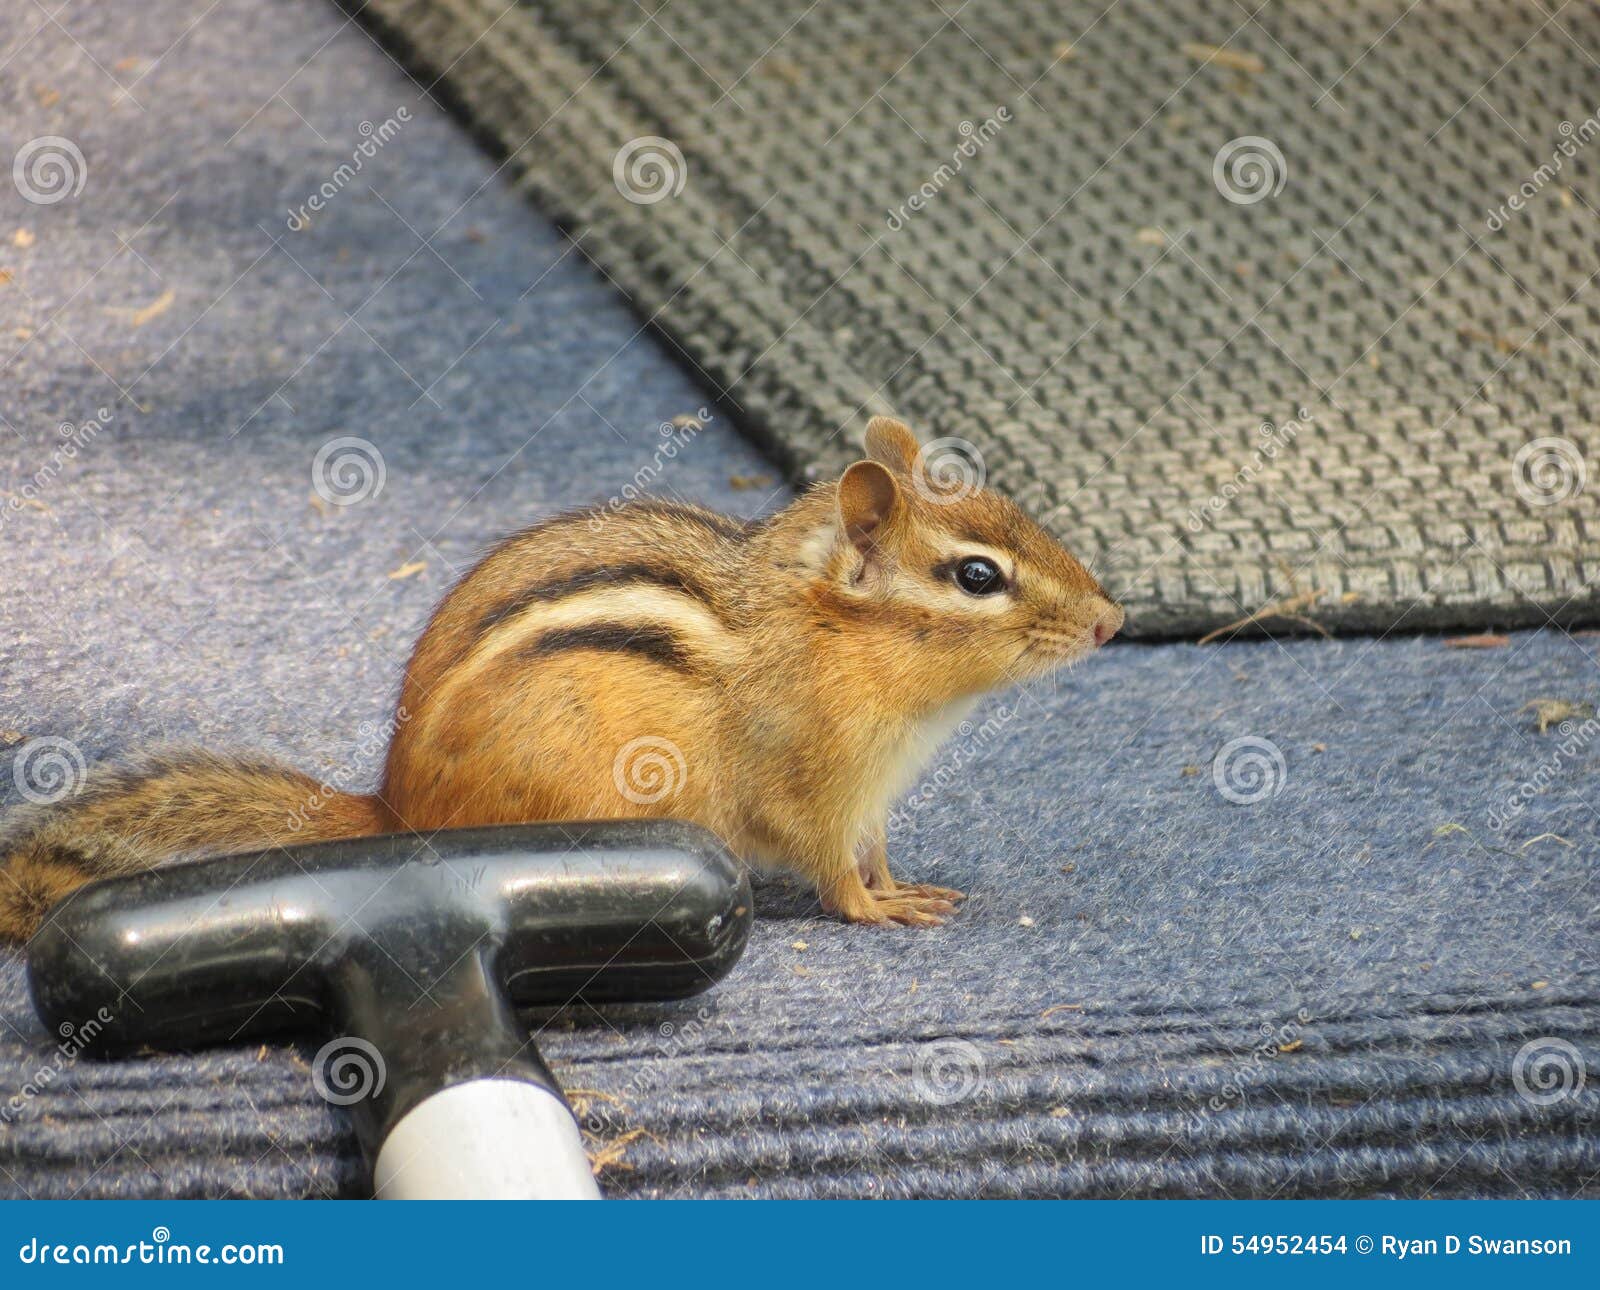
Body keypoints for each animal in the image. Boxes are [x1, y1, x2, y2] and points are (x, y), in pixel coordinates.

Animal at [0, 417, 1121, 939]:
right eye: (977, 576)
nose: (1114, 621)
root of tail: (392, 807)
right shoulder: (808, 783)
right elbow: (831, 869)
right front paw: (876, 910)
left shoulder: (873, 794)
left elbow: (876, 850)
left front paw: (905, 884)